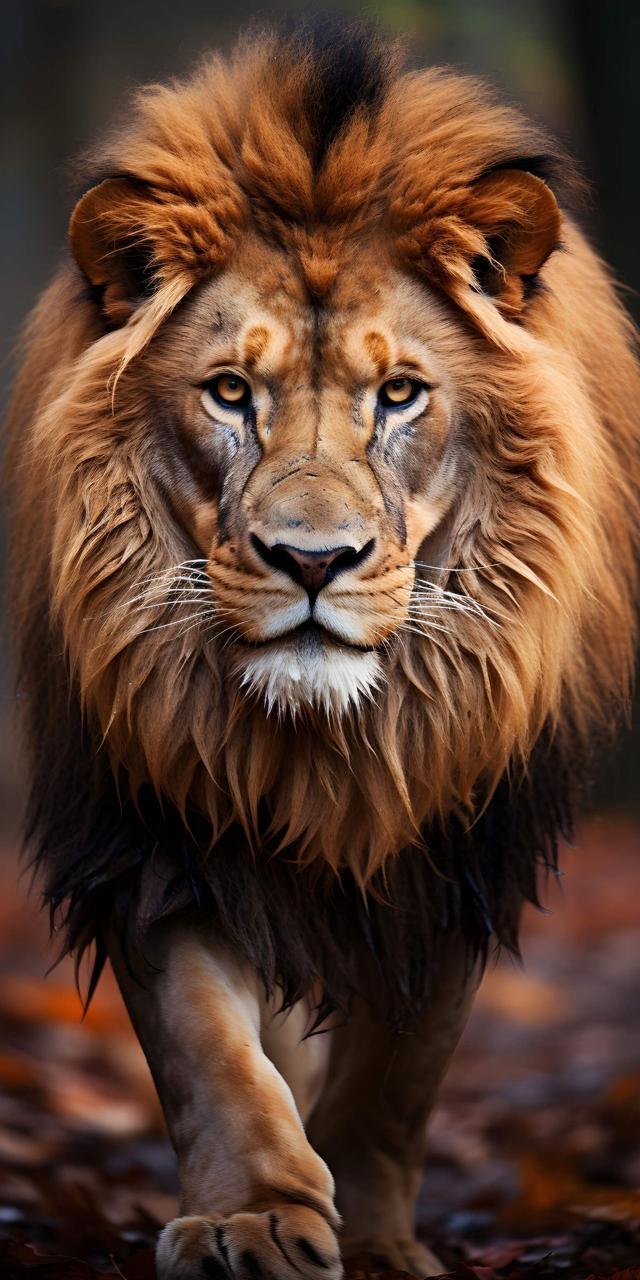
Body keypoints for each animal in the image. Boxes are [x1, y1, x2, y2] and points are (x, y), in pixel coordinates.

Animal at [5, 18, 639, 1280]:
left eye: (398, 393)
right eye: (228, 392)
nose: (311, 560)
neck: (323, 740)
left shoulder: (456, 842)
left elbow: (399, 1073)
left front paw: (380, 1239)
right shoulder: (153, 833)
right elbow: (210, 1048)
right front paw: (253, 1213)